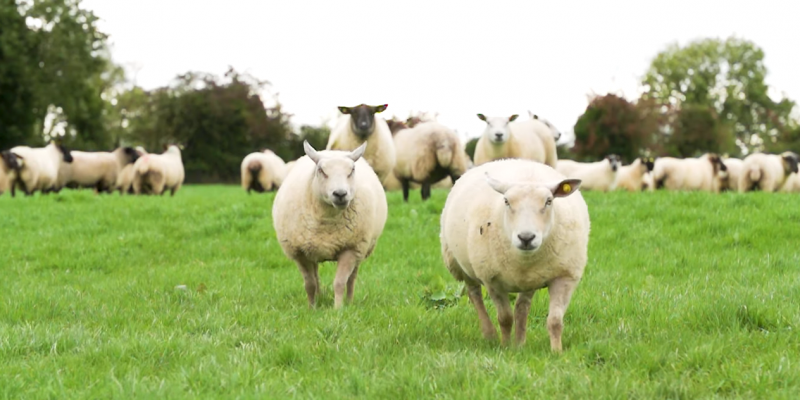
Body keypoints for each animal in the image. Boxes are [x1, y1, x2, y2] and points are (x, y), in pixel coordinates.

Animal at [272, 141, 388, 309]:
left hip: (361, 247)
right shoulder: (299, 252)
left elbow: (339, 283)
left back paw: (350, 301)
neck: (326, 221)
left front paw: (338, 309)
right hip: (312, 248)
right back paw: (319, 298)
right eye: (321, 170)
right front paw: (311, 308)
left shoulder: (350, 249)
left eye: (352, 170)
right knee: (315, 276)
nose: (340, 194)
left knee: (352, 279)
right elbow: (309, 284)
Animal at [440, 159, 589, 351]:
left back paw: (519, 344)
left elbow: (555, 321)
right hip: (460, 265)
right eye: (506, 201)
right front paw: (504, 346)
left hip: (531, 279)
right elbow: (504, 318)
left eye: (549, 201)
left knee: (522, 307)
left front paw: (556, 352)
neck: (525, 259)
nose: (526, 237)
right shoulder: (492, 280)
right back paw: (490, 335)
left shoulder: (565, 277)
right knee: (475, 295)